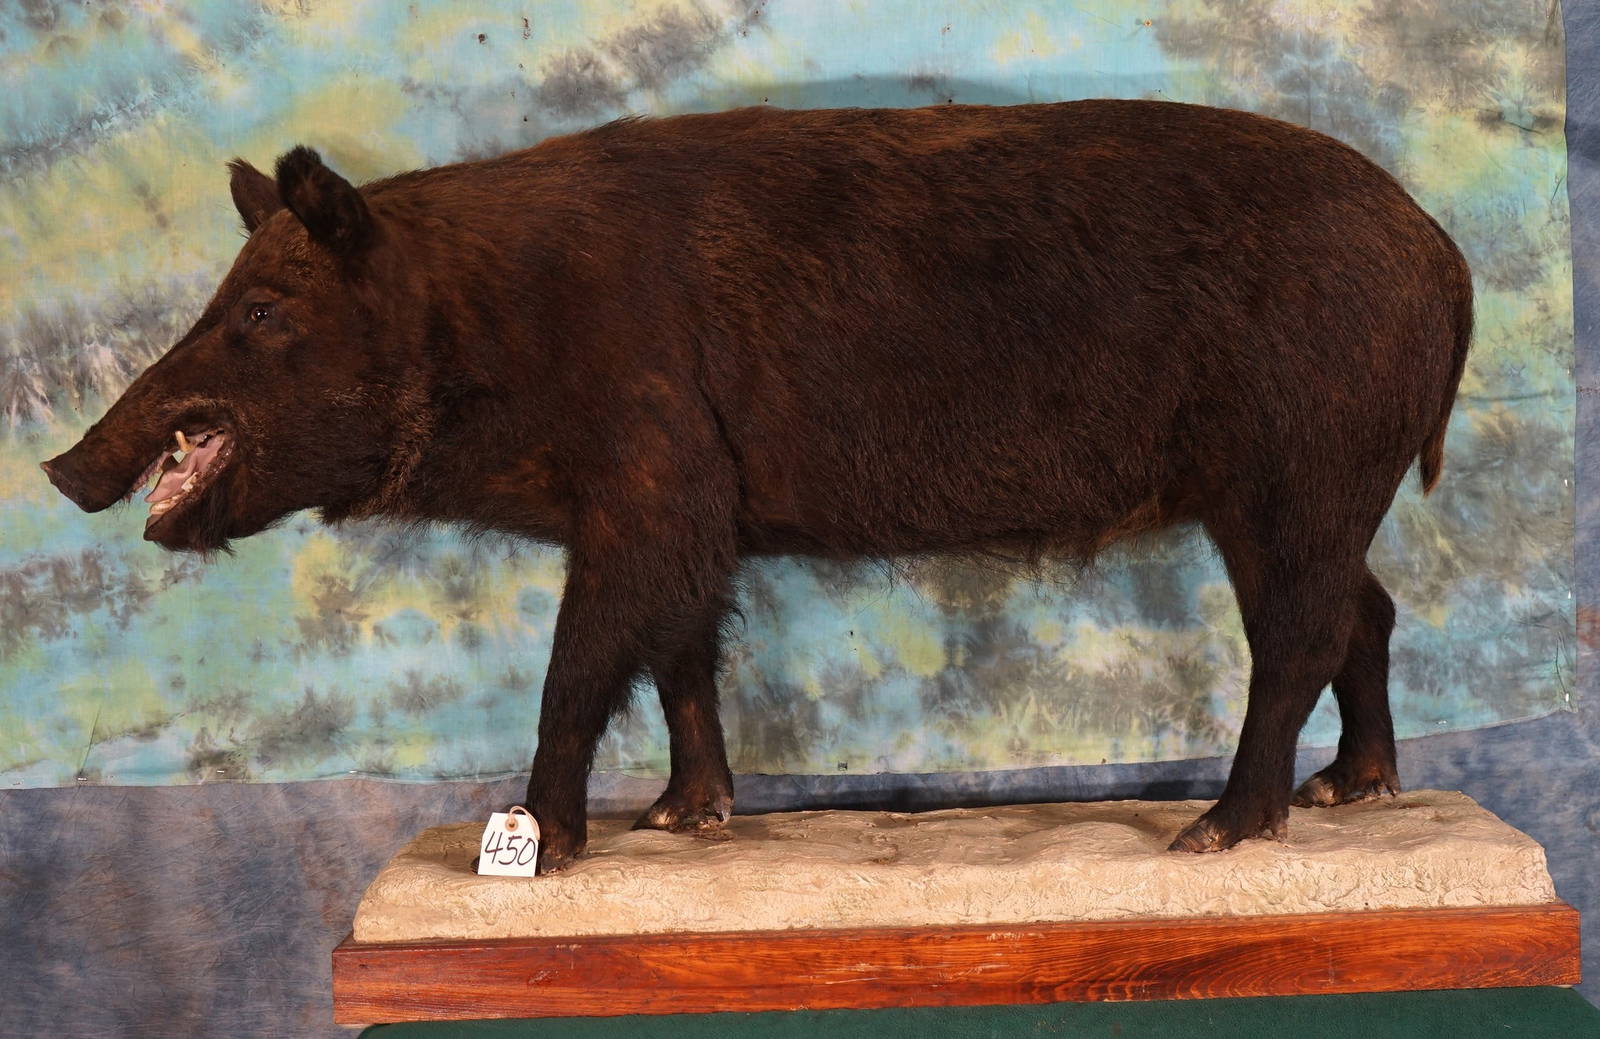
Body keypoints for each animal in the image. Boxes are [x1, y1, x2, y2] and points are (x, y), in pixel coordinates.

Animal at [41, 100, 1472, 871]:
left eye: (263, 309)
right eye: (224, 294)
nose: (60, 465)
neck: (484, 323)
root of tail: (1442, 255)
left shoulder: (652, 476)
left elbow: (584, 664)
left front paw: (540, 846)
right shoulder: (698, 514)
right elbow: (684, 654)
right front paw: (685, 821)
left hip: (1302, 467)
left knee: (1296, 638)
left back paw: (1220, 833)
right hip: (1305, 491)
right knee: (1370, 611)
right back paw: (1355, 794)